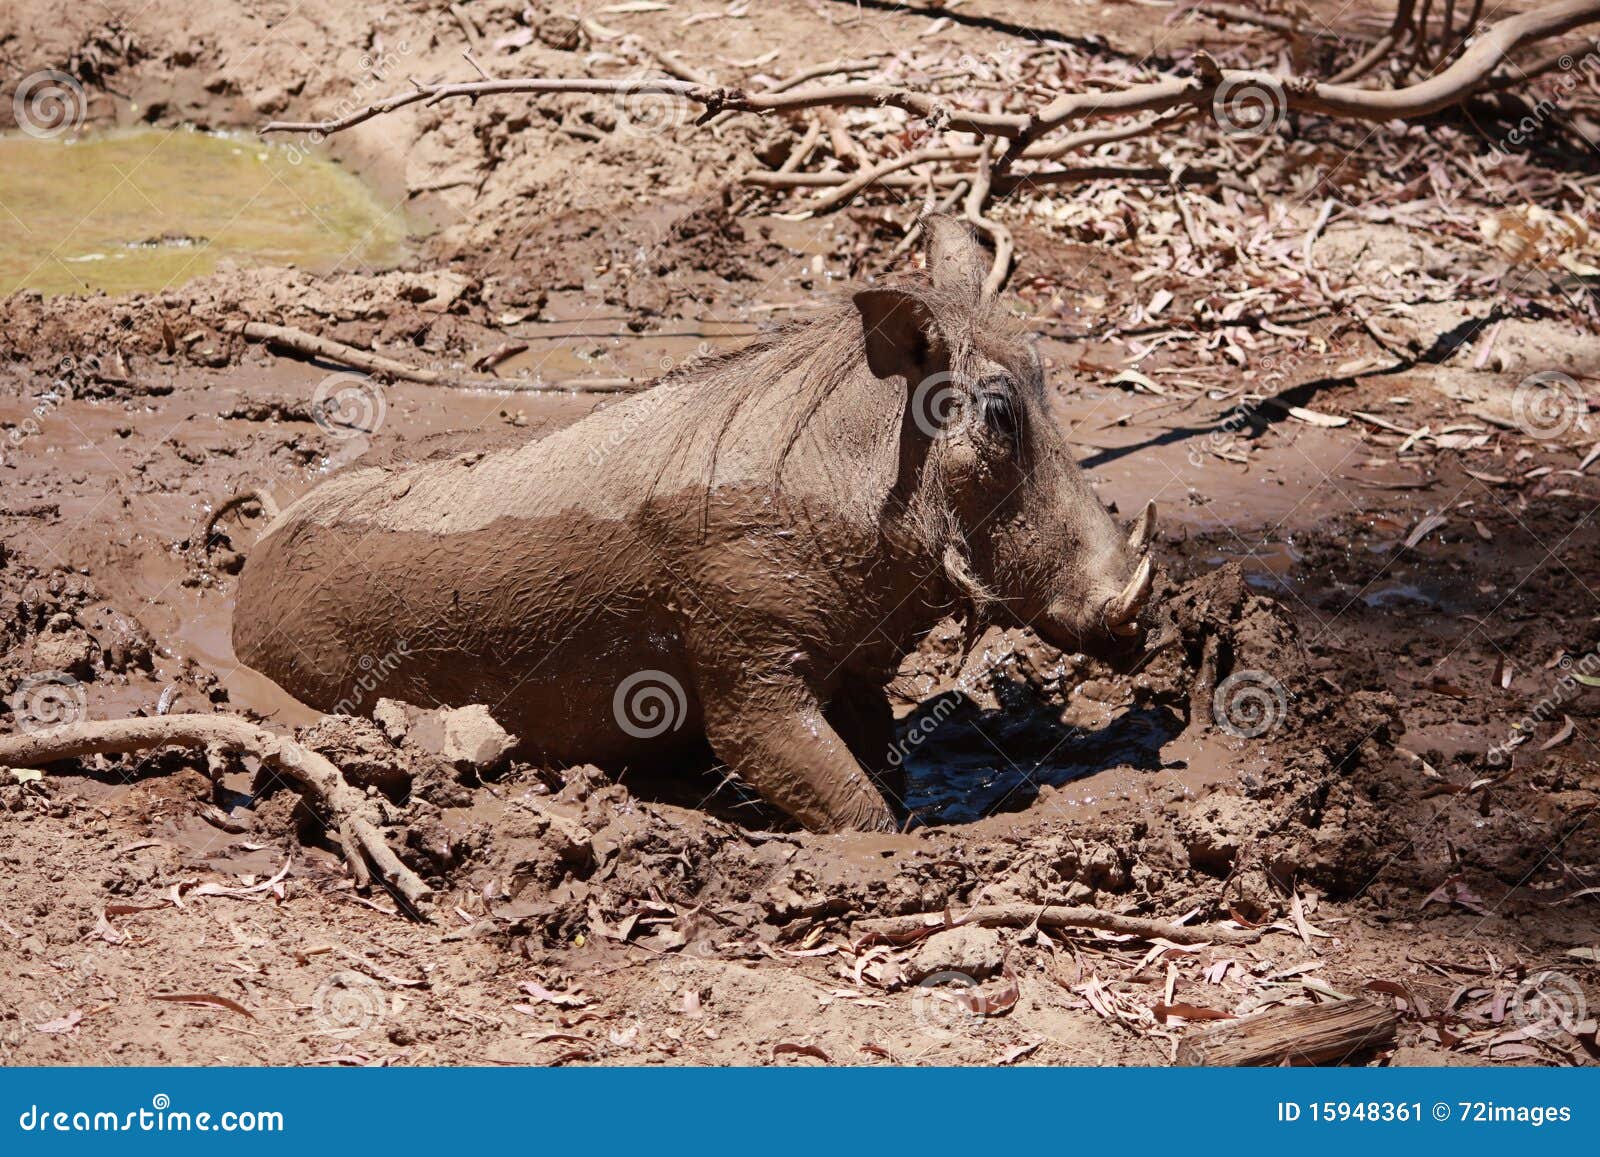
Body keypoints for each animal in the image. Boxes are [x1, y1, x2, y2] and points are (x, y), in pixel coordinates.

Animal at [233, 216, 1157, 833]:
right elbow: (859, 810)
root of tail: (247, 573)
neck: (862, 478)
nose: (1138, 622)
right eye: (998, 412)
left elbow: (887, 763)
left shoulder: (853, 668)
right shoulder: (749, 680)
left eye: (1044, 375)